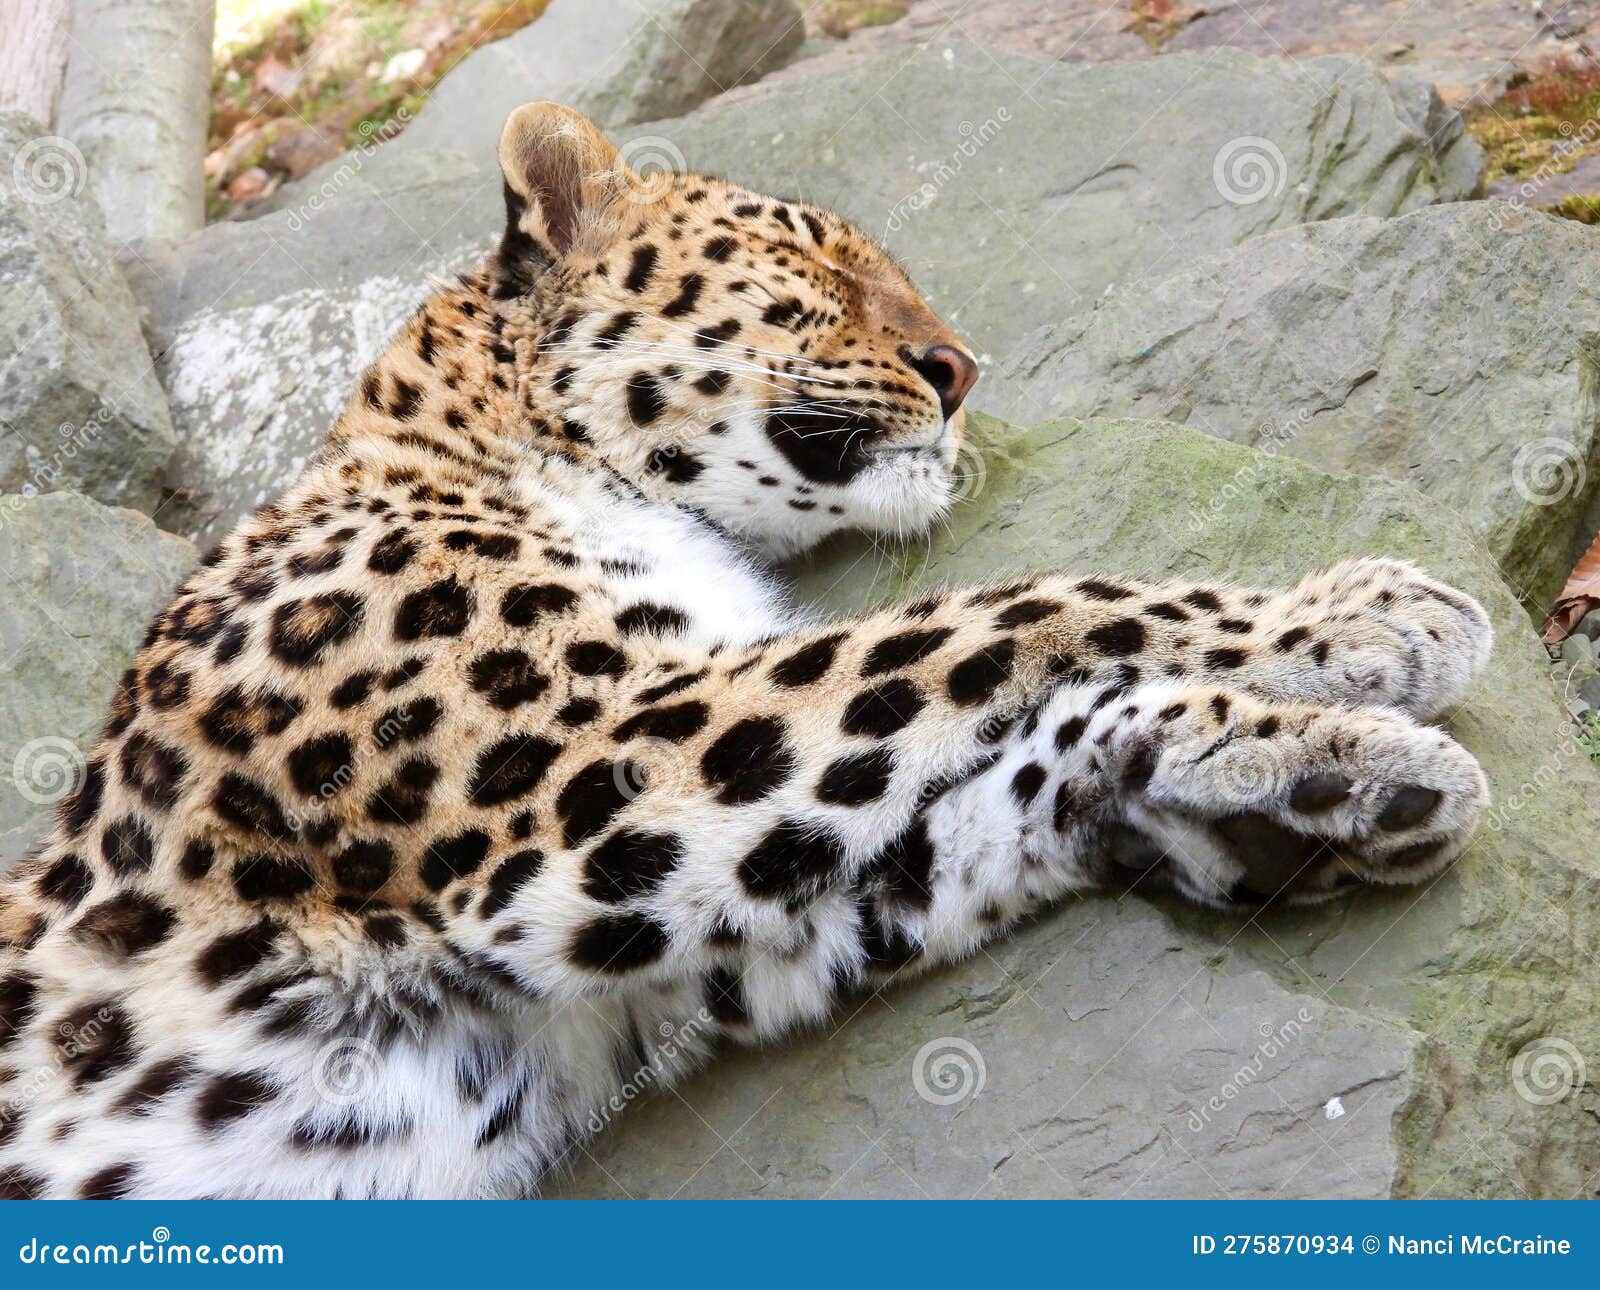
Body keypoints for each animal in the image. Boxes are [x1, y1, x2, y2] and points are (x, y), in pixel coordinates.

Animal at [0, 102, 1492, 1199]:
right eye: (814, 270)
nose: (962, 369)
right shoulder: (594, 784)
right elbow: (1000, 613)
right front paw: (1354, 619)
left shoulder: (638, 957)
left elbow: (992, 793)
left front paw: (1297, 779)